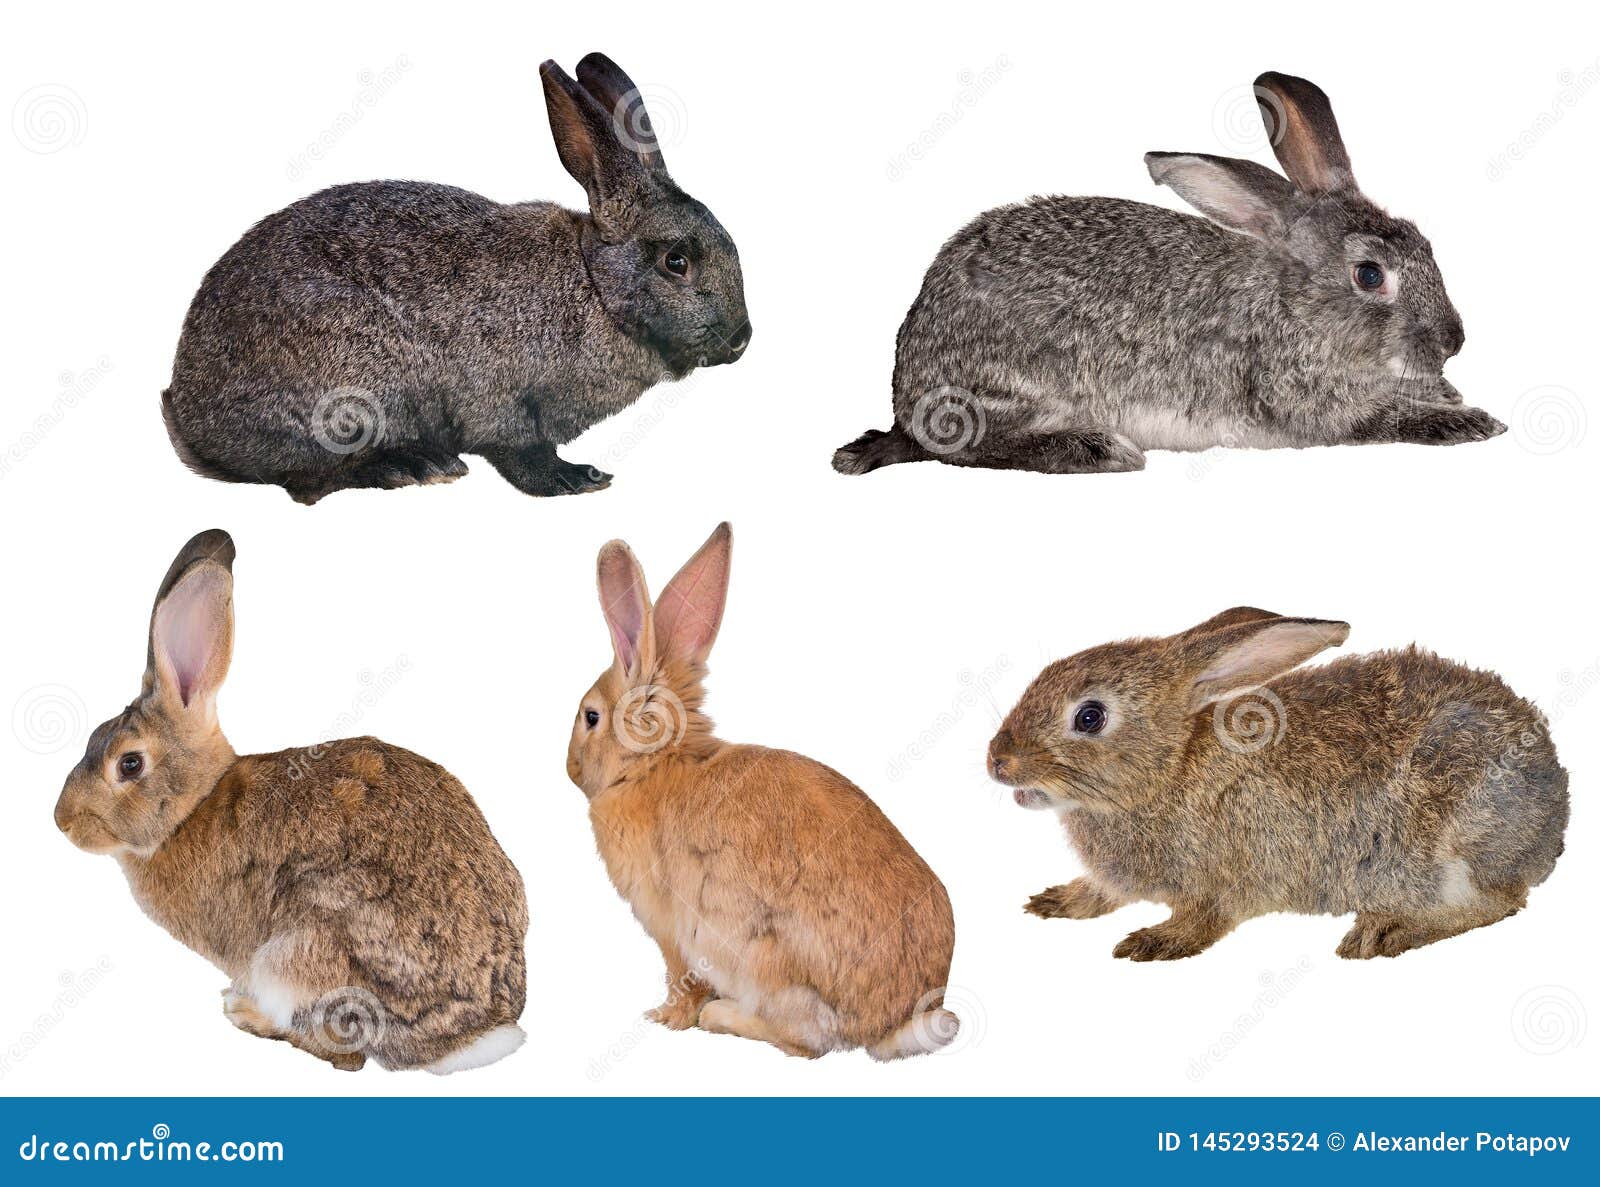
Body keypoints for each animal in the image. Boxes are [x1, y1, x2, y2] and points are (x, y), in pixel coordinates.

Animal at [53, 529, 529, 1071]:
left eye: (129, 764)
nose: (62, 820)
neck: (193, 807)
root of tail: (472, 1036)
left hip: (299, 954)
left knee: (344, 1052)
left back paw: (244, 1012)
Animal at [162, 53, 750, 505]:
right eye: (676, 261)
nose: (742, 339)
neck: (595, 287)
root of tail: (190, 418)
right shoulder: (502, 404)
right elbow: (523, 458)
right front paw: (578, 479)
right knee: (306, 481)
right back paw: (411, 467)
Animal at [566, 523, 959, 1059]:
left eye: (590, 717)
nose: (569, 768)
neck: (657, 765)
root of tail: (892, 1023)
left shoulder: (672, 930)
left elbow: (681, 982)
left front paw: (665, 1018)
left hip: (762, 959)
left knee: (806, 1040)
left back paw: (721, 1016)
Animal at [834, 71, 1502, 477]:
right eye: (1368, 275)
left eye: (1423, 242)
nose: (1454, 340)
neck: (1293, 304)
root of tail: (905, 391)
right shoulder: (1311, 404)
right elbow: (1384, 418)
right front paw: (1471, 422)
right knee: (965, 445)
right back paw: (1097, 449)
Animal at [987, 607, 1568, 960]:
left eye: (1089, 717)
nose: (997, 762)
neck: (1170, 766)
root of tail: (1555, 814)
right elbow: (1101, 892)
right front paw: (1056, 902)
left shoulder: (1228, 876)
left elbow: (1203, 918)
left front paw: (1154, 942)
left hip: (1458, 842)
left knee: (1498, 903)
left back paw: (1387, 930)